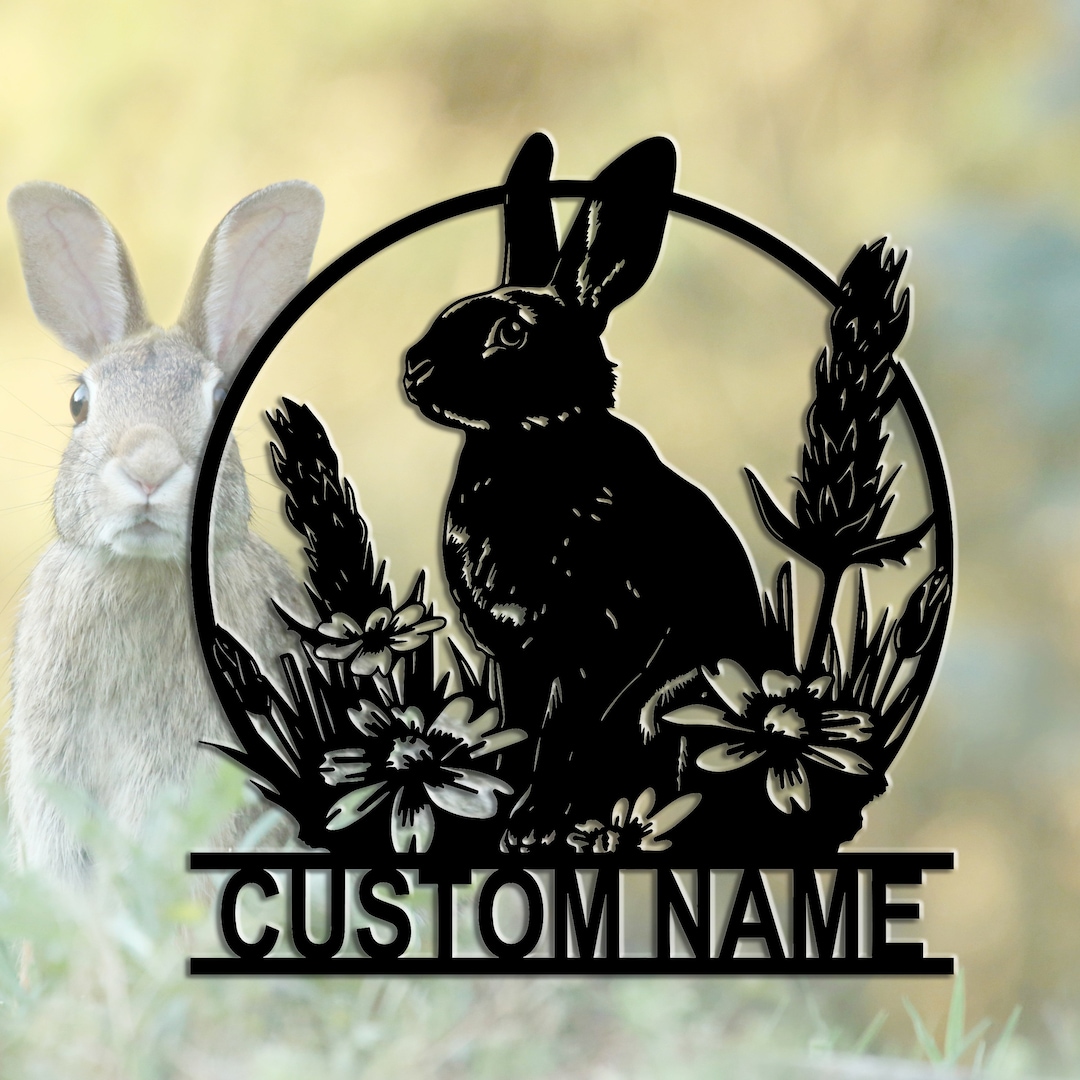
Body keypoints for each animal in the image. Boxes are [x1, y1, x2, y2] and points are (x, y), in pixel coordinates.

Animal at [403, 134, 765, 851]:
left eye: (512, 332)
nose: (414, 369)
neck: (529, 455)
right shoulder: (512, 657)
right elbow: (518, 728)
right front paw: (498, 803)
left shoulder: (593, 651)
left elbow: (561, 735)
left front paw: (533, 823)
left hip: (682, 706)